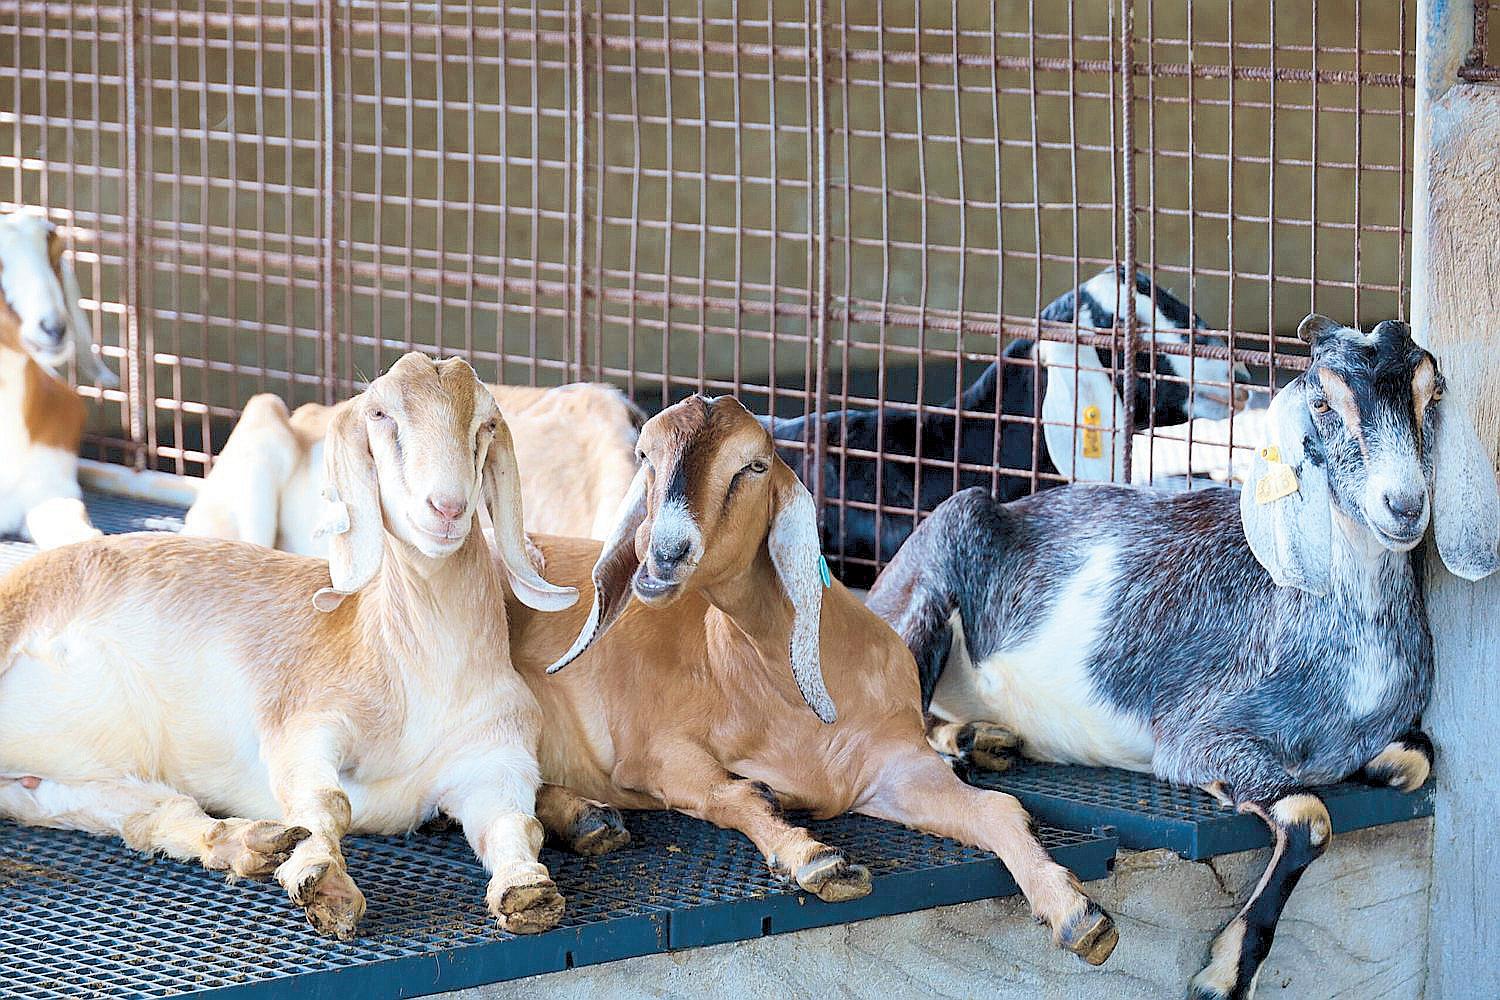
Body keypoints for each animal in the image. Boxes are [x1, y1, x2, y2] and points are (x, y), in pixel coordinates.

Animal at [0, 353, 586, 939]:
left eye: (486, 423)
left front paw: (527, 889)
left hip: (77, 780)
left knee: (144, 813)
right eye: (381, 414)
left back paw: (250, 844)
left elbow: (516, 824)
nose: (446, 507)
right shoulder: (304, 720)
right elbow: (327, 800)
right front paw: (323, 880)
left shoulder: (497, 761)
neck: (414, 670)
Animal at [506, 394, 1120, 967]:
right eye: (645, 456)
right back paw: (587, 819)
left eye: (753, 465)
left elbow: (999, 809)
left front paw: (1076, 913)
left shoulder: (891, 767)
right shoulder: (652, 752)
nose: (663, 553)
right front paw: (817, 860)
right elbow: (735, 791)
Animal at [866, 316, 1500, 1000]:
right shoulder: (1201, 737)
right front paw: (1225, 973)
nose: (1404, 505)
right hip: (929, 584)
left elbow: (1416, 758)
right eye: (1324, 402)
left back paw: (982, 739)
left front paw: (1378, 767)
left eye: (1430, 394)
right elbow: (1310, 816)